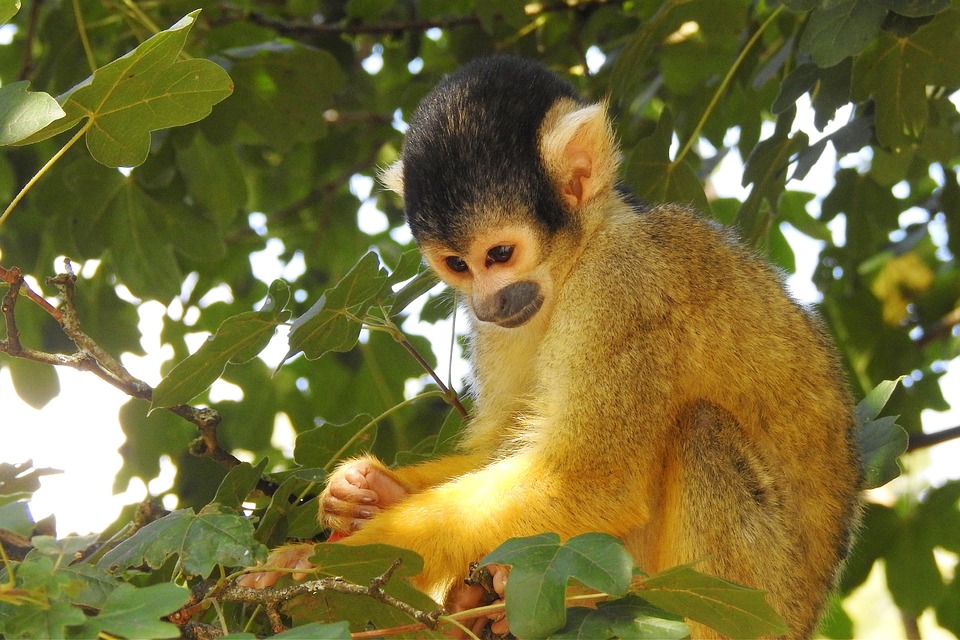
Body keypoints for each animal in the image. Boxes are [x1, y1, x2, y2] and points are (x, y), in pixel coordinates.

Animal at [239, 55, 862, 638]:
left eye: (499, 254)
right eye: (458, 265)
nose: (488, 303)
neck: (578, 257)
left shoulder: (626, 286)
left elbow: (591, 480)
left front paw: (321, 559)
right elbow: (501, 447)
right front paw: (366, 490)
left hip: (763, 599)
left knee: (702, 431)